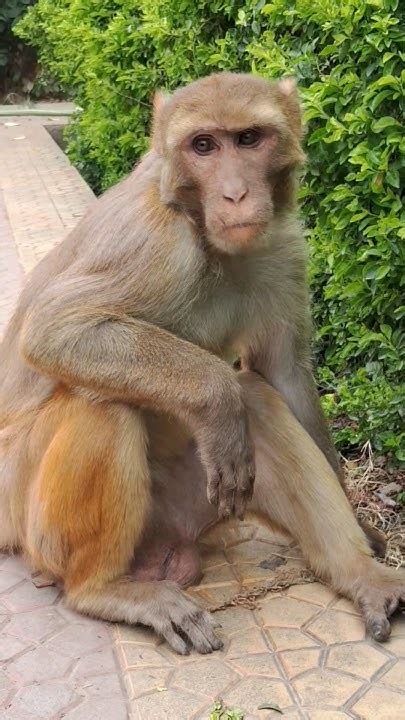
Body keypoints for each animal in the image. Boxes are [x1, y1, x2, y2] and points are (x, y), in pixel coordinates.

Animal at [0, 73, 403, 655]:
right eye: (204, 146)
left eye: (249, 139)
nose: (235, 194)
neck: (202, 231)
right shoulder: (153, 243)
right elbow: (57, 328)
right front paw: (216, 395)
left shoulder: (283, 244)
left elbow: (283, 373)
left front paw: (363, 536)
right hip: (33, 521)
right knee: (103, 405)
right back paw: (102, 588)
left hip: (201, 507)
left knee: (259, 401)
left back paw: (362, 576)